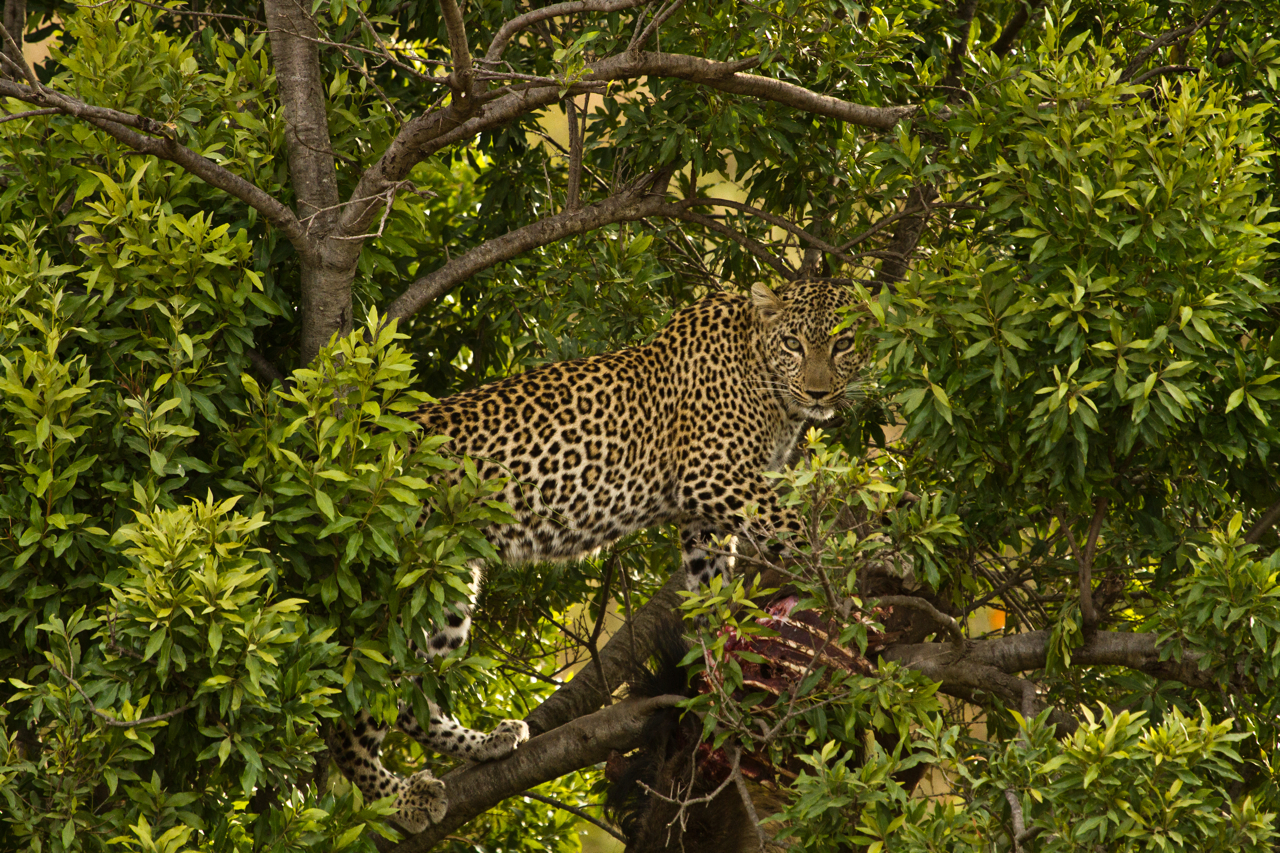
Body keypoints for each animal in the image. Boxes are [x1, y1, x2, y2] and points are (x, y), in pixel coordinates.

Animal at [329, 278, 876, 833]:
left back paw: (486, 744)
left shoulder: (702, 517)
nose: (819, 393)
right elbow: (802, 532)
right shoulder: (715, 476)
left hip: (447, 583)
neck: (768, 383)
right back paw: (399, 800)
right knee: (353, 716)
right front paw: (856, 582)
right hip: (401, 588)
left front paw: (719, 666)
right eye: (793, 344)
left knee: (412, 700)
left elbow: (712, 590)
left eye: (843, 343)